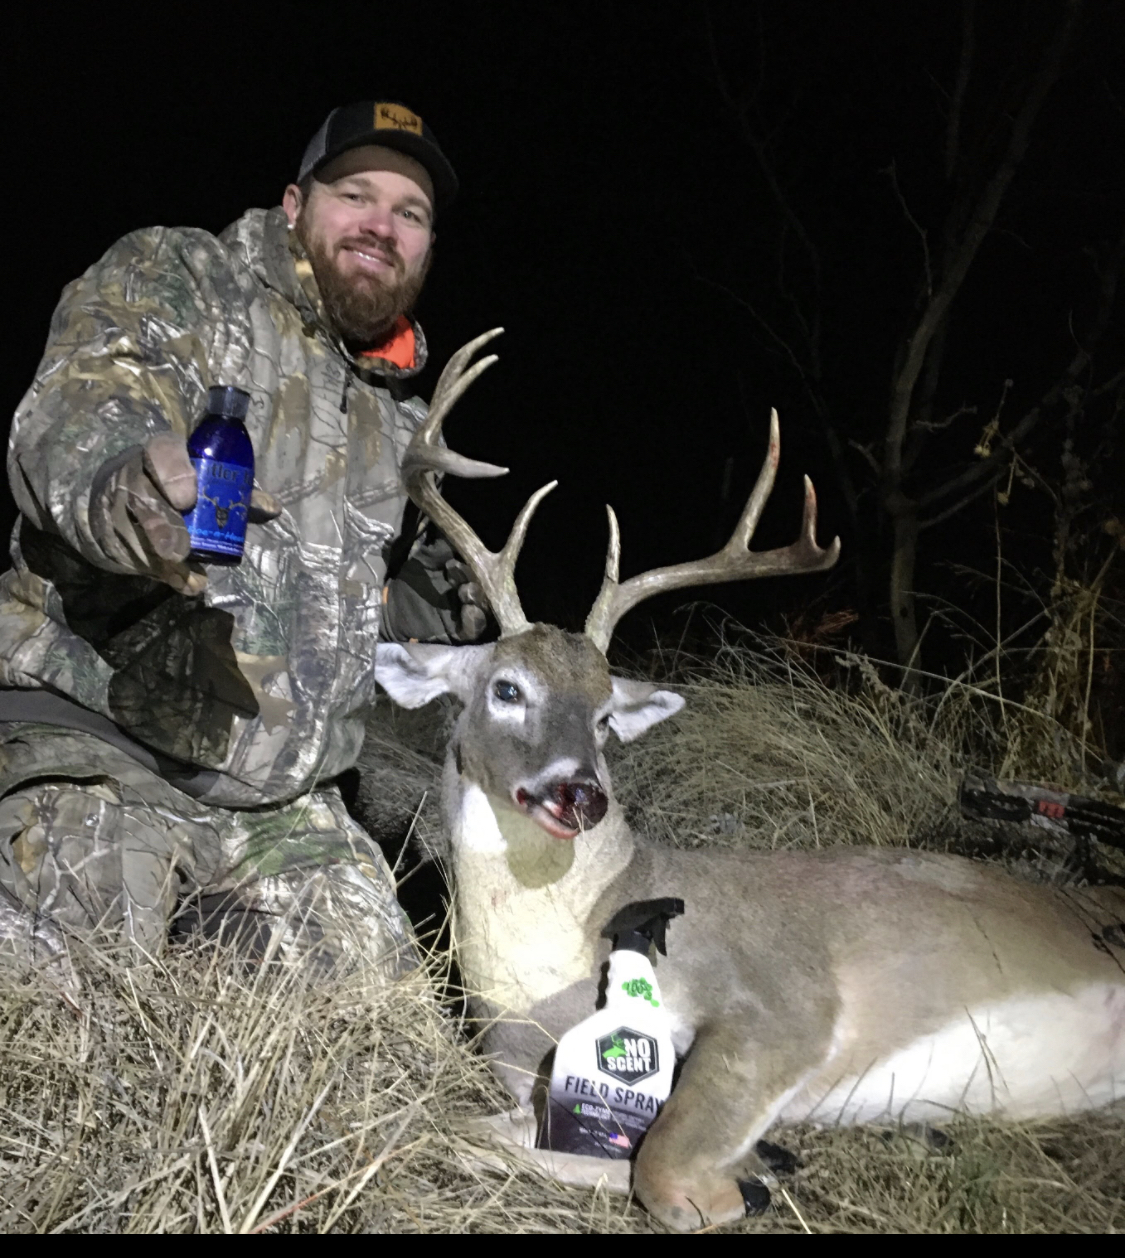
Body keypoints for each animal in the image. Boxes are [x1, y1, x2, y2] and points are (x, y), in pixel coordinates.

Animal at [374, 331, 1125, 1232]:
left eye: (604, 713)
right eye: (506, 688)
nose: (581, 792)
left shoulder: (785, 1003)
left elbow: (662, 1172)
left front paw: (750, 1174)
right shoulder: (520, 1069)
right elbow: (462, 1130)